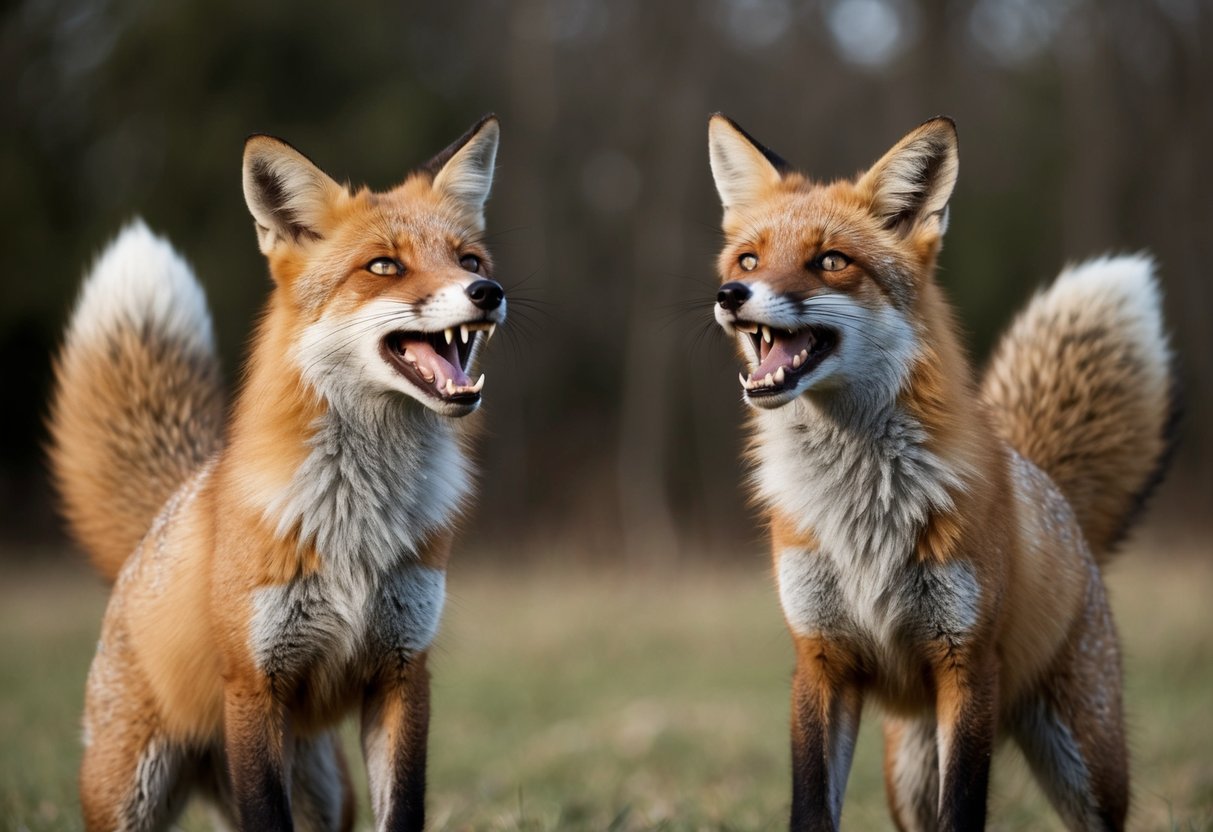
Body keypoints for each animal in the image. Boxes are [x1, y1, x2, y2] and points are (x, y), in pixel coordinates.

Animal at [48, 115, 505, 831]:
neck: (357, 514)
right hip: (129, 793)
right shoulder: (255, 683)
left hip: (326, 788)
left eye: (470, 262)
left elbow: (403, 809)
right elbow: (268, 813)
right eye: (384, 266)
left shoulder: (404, 672)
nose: (488, 294)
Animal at [706, 114, 1175, 831]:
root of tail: (1050, 490)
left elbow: (965, 810)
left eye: (831, 261)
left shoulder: (966, 665)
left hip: (1086, 765)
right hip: (909, 770)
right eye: (748, 260)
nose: (731, 295)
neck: (858, 503)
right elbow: (812, 810)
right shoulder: (820, 660)